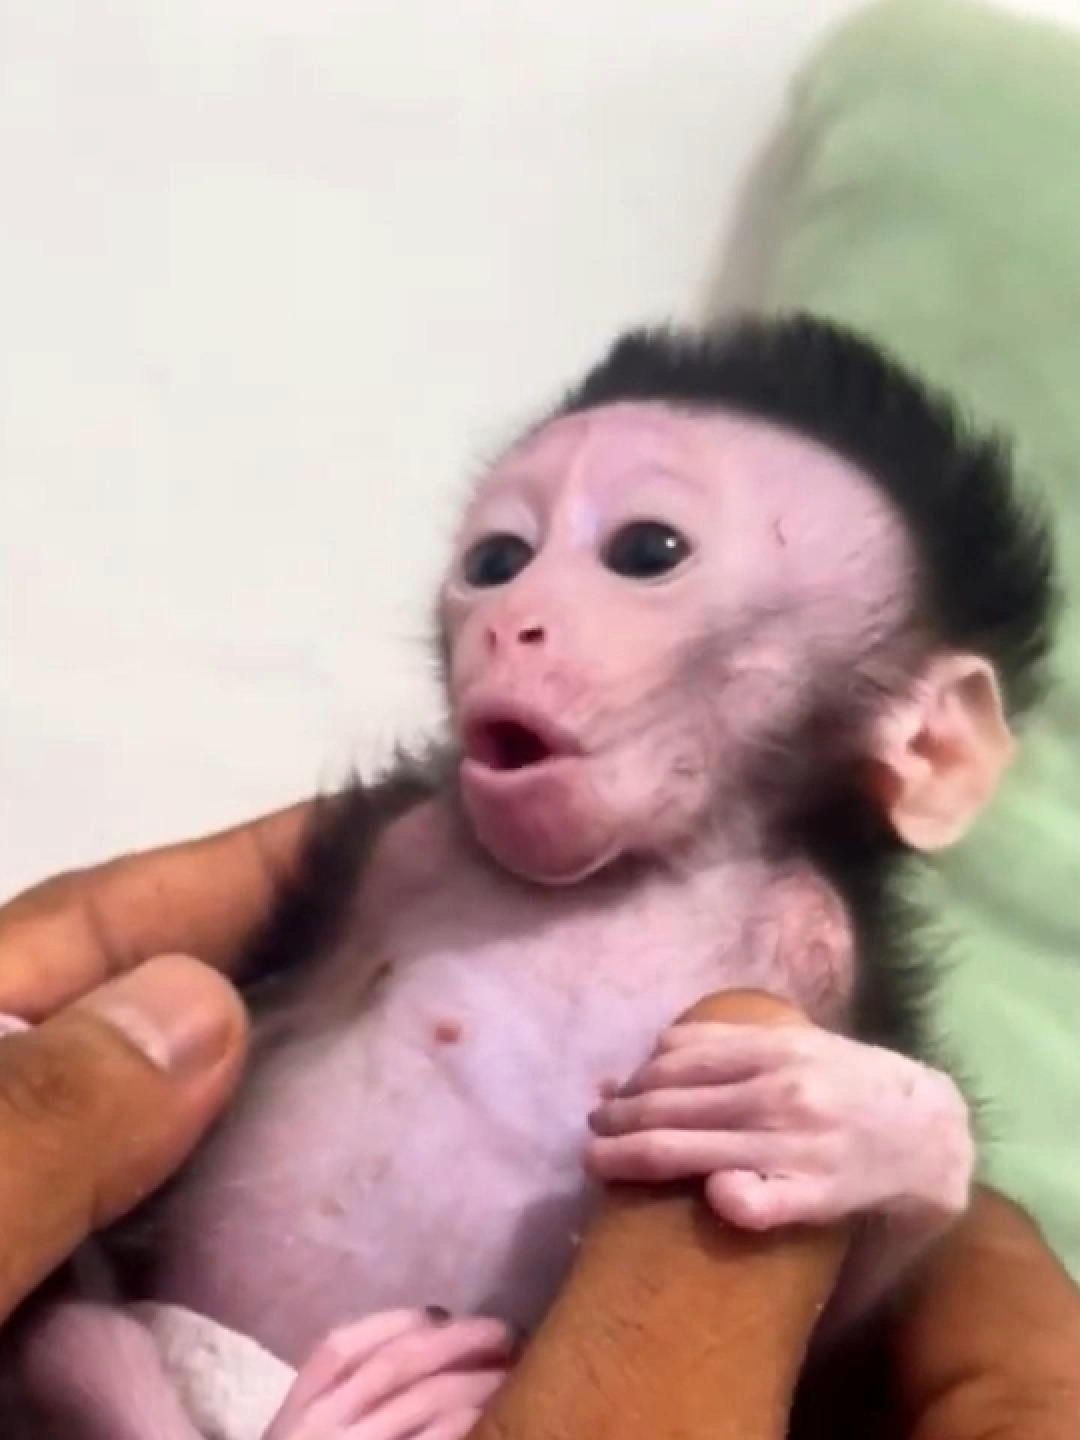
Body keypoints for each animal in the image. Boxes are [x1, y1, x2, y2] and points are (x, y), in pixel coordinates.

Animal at [1, 313, 1056, 1440]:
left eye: (647, 552)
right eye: (498, 561)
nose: (512, 622)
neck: (620, 876)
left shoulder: (822, 944)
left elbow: (847, 1328)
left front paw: (861, 1124)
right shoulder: (395, 847)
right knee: (79, 1342)